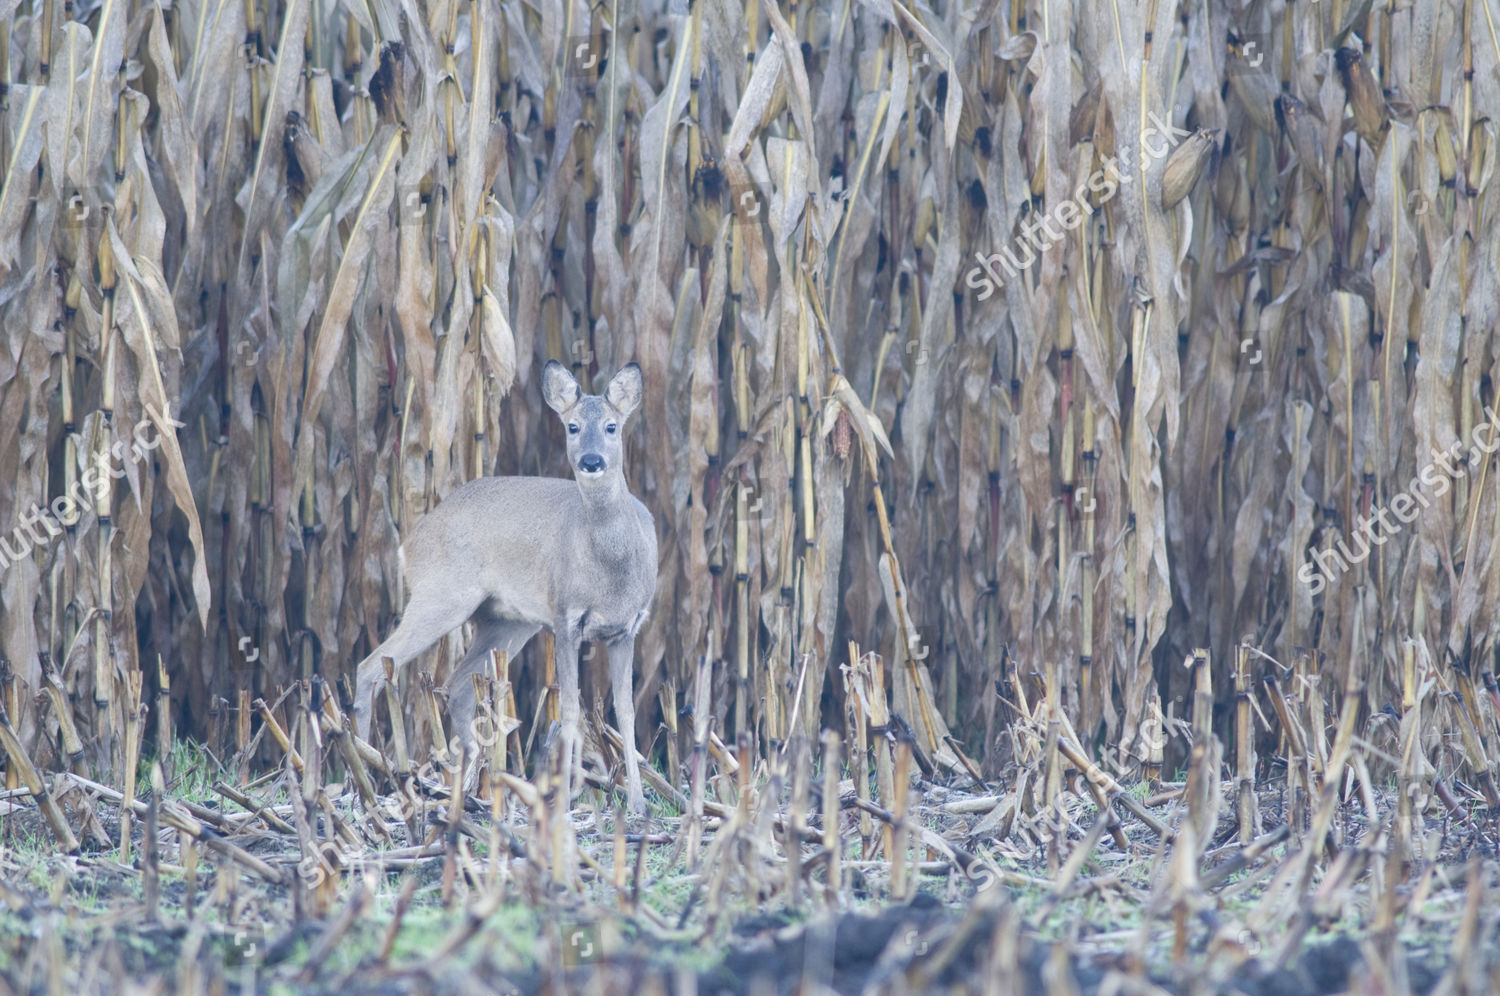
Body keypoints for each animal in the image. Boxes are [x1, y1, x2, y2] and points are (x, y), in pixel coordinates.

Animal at [352, 361, 658, 814]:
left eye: (611, 426)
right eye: (571, 426)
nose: (591, 461)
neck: (610, 571)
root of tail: (409, 543)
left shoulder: (627, 628)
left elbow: (626, 713)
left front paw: (636, 802)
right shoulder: (565, 617)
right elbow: (569, 708)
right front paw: (570, 796)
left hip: (505, 621)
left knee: (458, 687)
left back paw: (473, 787)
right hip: (441, 594)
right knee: (372, 666)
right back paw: (366, 781)